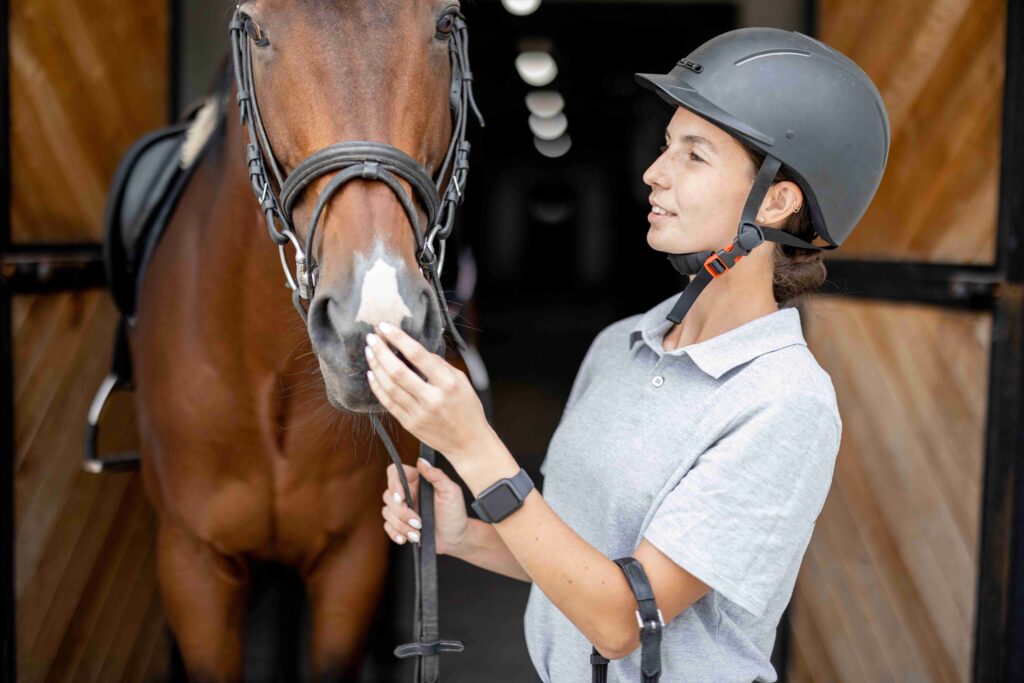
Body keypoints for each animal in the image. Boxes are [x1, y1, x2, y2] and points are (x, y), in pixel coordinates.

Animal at [130, 2, 482, 679]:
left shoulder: (351, 559)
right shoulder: (192, 564)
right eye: (259, 31)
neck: (262, 369)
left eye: (442, 22)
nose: (372, 324)